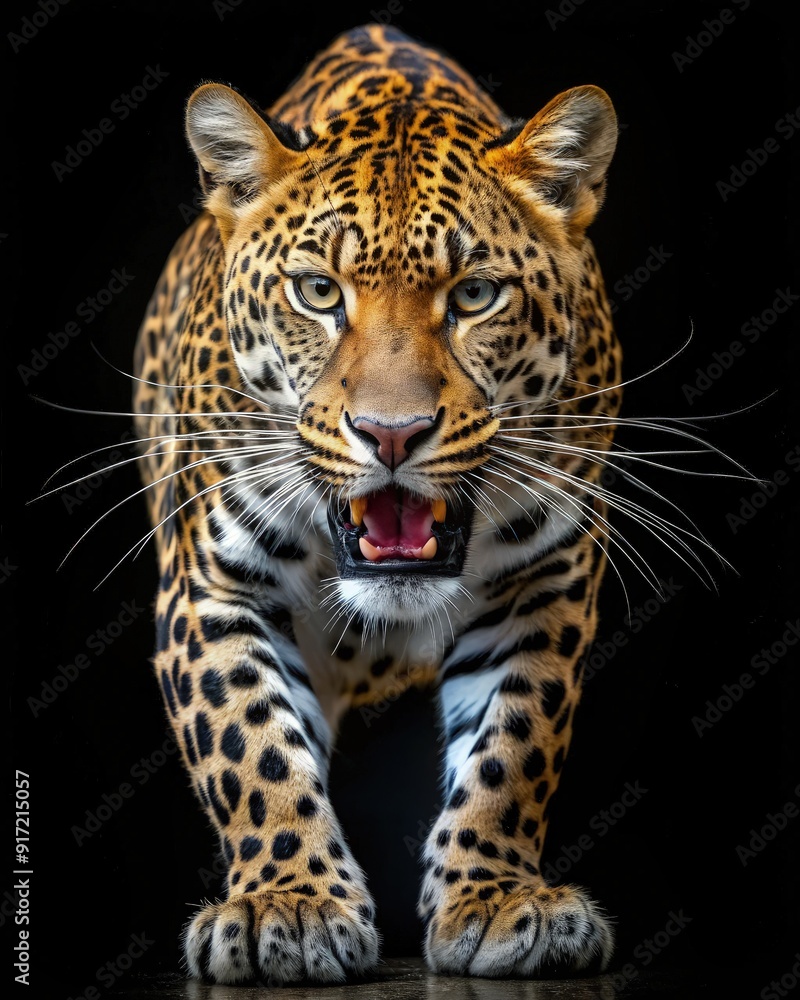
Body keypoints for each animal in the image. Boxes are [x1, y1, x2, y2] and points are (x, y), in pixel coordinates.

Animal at [132, 22, 623, 984]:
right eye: (319, 292)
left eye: (475, 294)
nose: (391, 435)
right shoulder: (210, 585)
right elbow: (249, 741)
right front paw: (287, 905)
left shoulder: (546, 582)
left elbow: (514, 744)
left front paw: (498, 897)